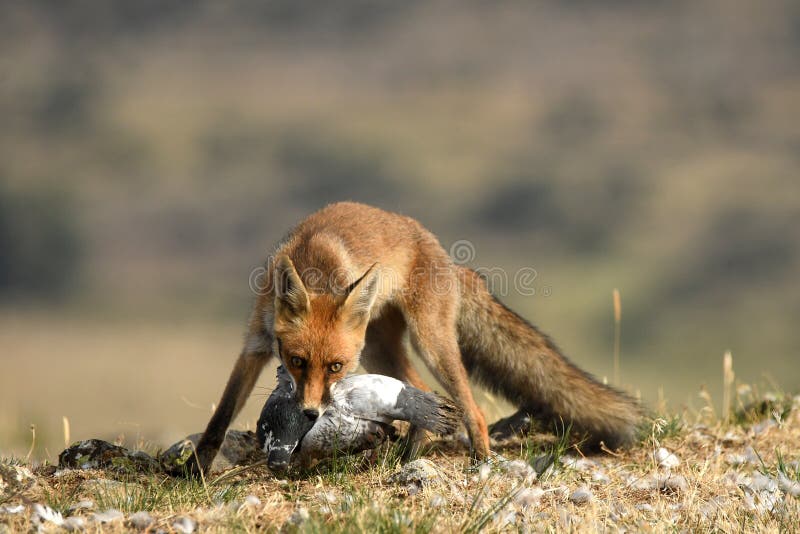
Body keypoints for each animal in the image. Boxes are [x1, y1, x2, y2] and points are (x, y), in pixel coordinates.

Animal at [188, 201, 641, 474]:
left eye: (336, 367)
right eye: (297, 361)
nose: (311, 414)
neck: (316, 263)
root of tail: (449, 259)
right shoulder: (254, 346)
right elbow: (219, 417)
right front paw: (195, 470)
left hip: (430, 344)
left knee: (471, 408)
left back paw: (479, 460)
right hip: (379, 350)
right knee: (419, 389)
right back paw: (410, 452)